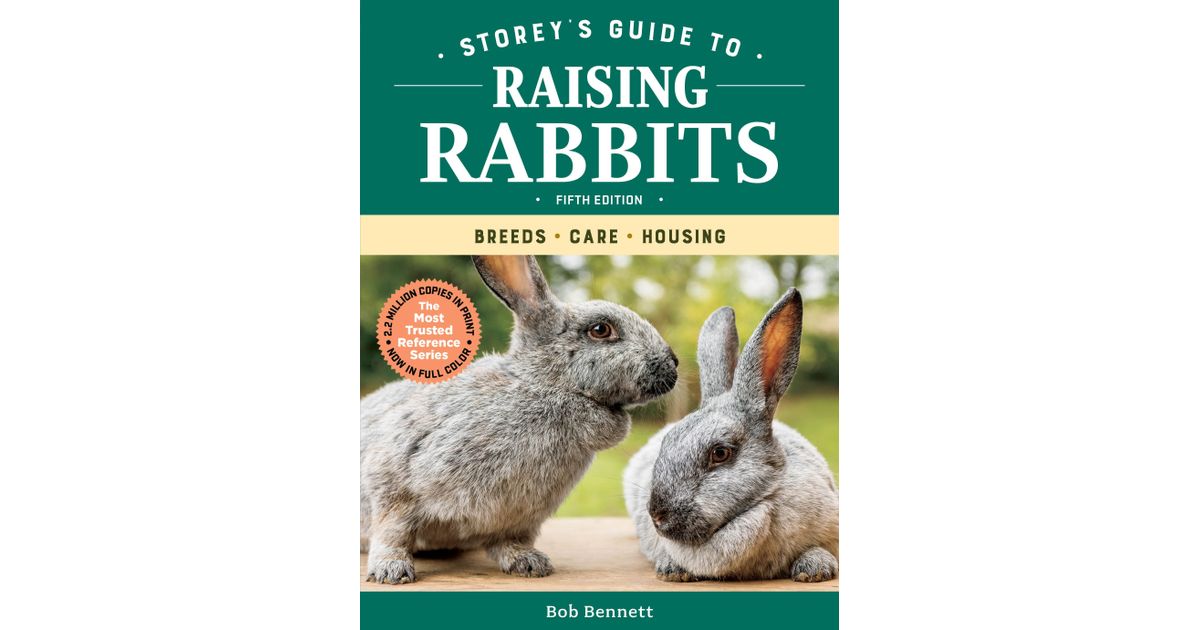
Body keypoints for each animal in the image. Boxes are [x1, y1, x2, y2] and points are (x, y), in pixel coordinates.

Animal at [361, 255, 678, 584]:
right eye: (601, 329)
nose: (674, 363)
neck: (544, 386)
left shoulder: (519, 519)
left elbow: (509, 542)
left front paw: (529, 563)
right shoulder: (394, 475)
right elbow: (392, 531)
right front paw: (391, 570)